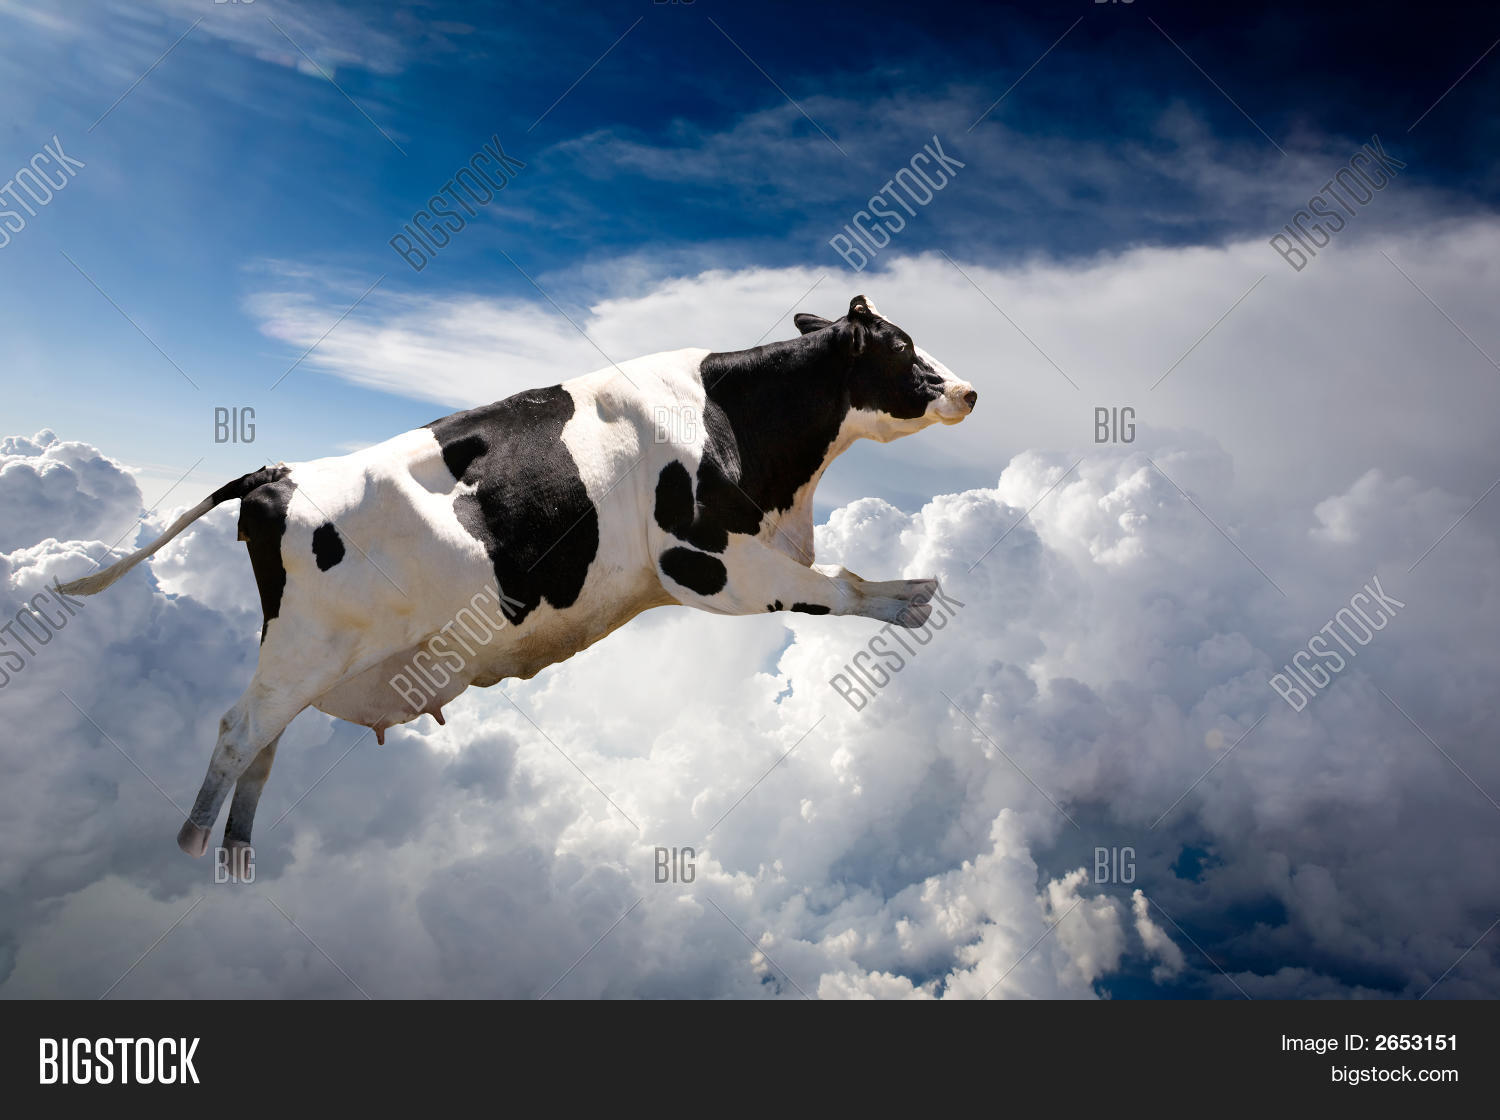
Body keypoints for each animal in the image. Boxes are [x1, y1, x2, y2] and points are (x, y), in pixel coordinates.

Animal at [59, 295, 976, 871]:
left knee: (264, 742)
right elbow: (839, 587)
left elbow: (835, 576)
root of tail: (273, 471)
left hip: (302, 659)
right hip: (301, 649)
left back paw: (239, 855)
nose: (969, 388)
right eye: (900, 345)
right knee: (238, 730)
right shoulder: (708, 564)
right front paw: (915, 598)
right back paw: (192, 845)